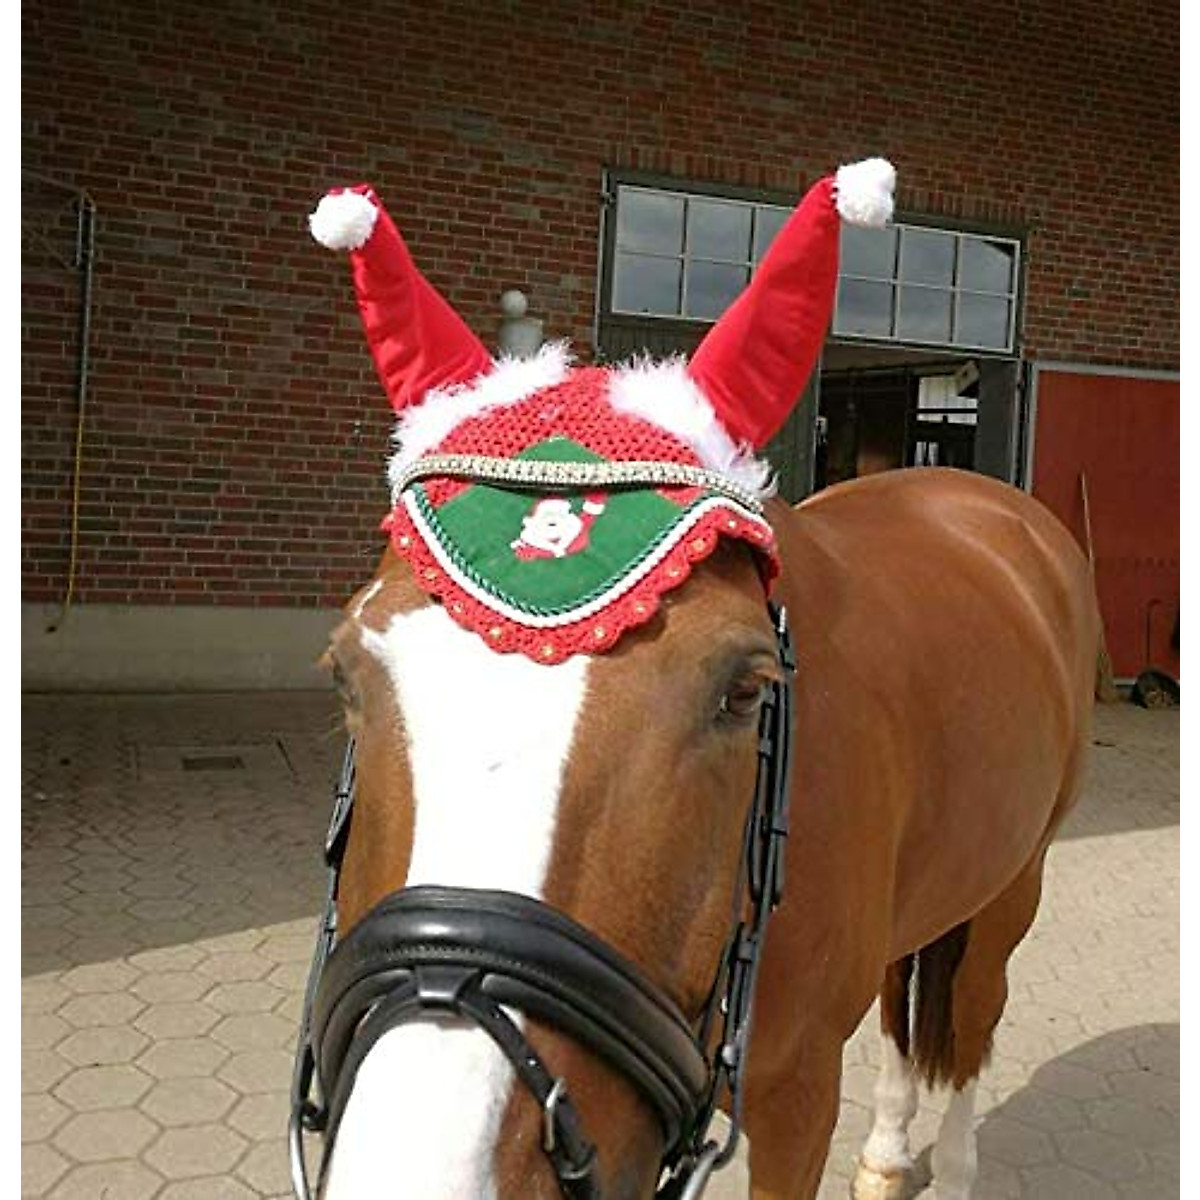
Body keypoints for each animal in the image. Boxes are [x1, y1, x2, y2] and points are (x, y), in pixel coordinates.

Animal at [290, 161, 1100, 1199]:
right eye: (347, 676)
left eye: (743, 691)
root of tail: (991, 503)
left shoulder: (797, 1092)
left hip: (1013, 884)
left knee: (970, 1015)